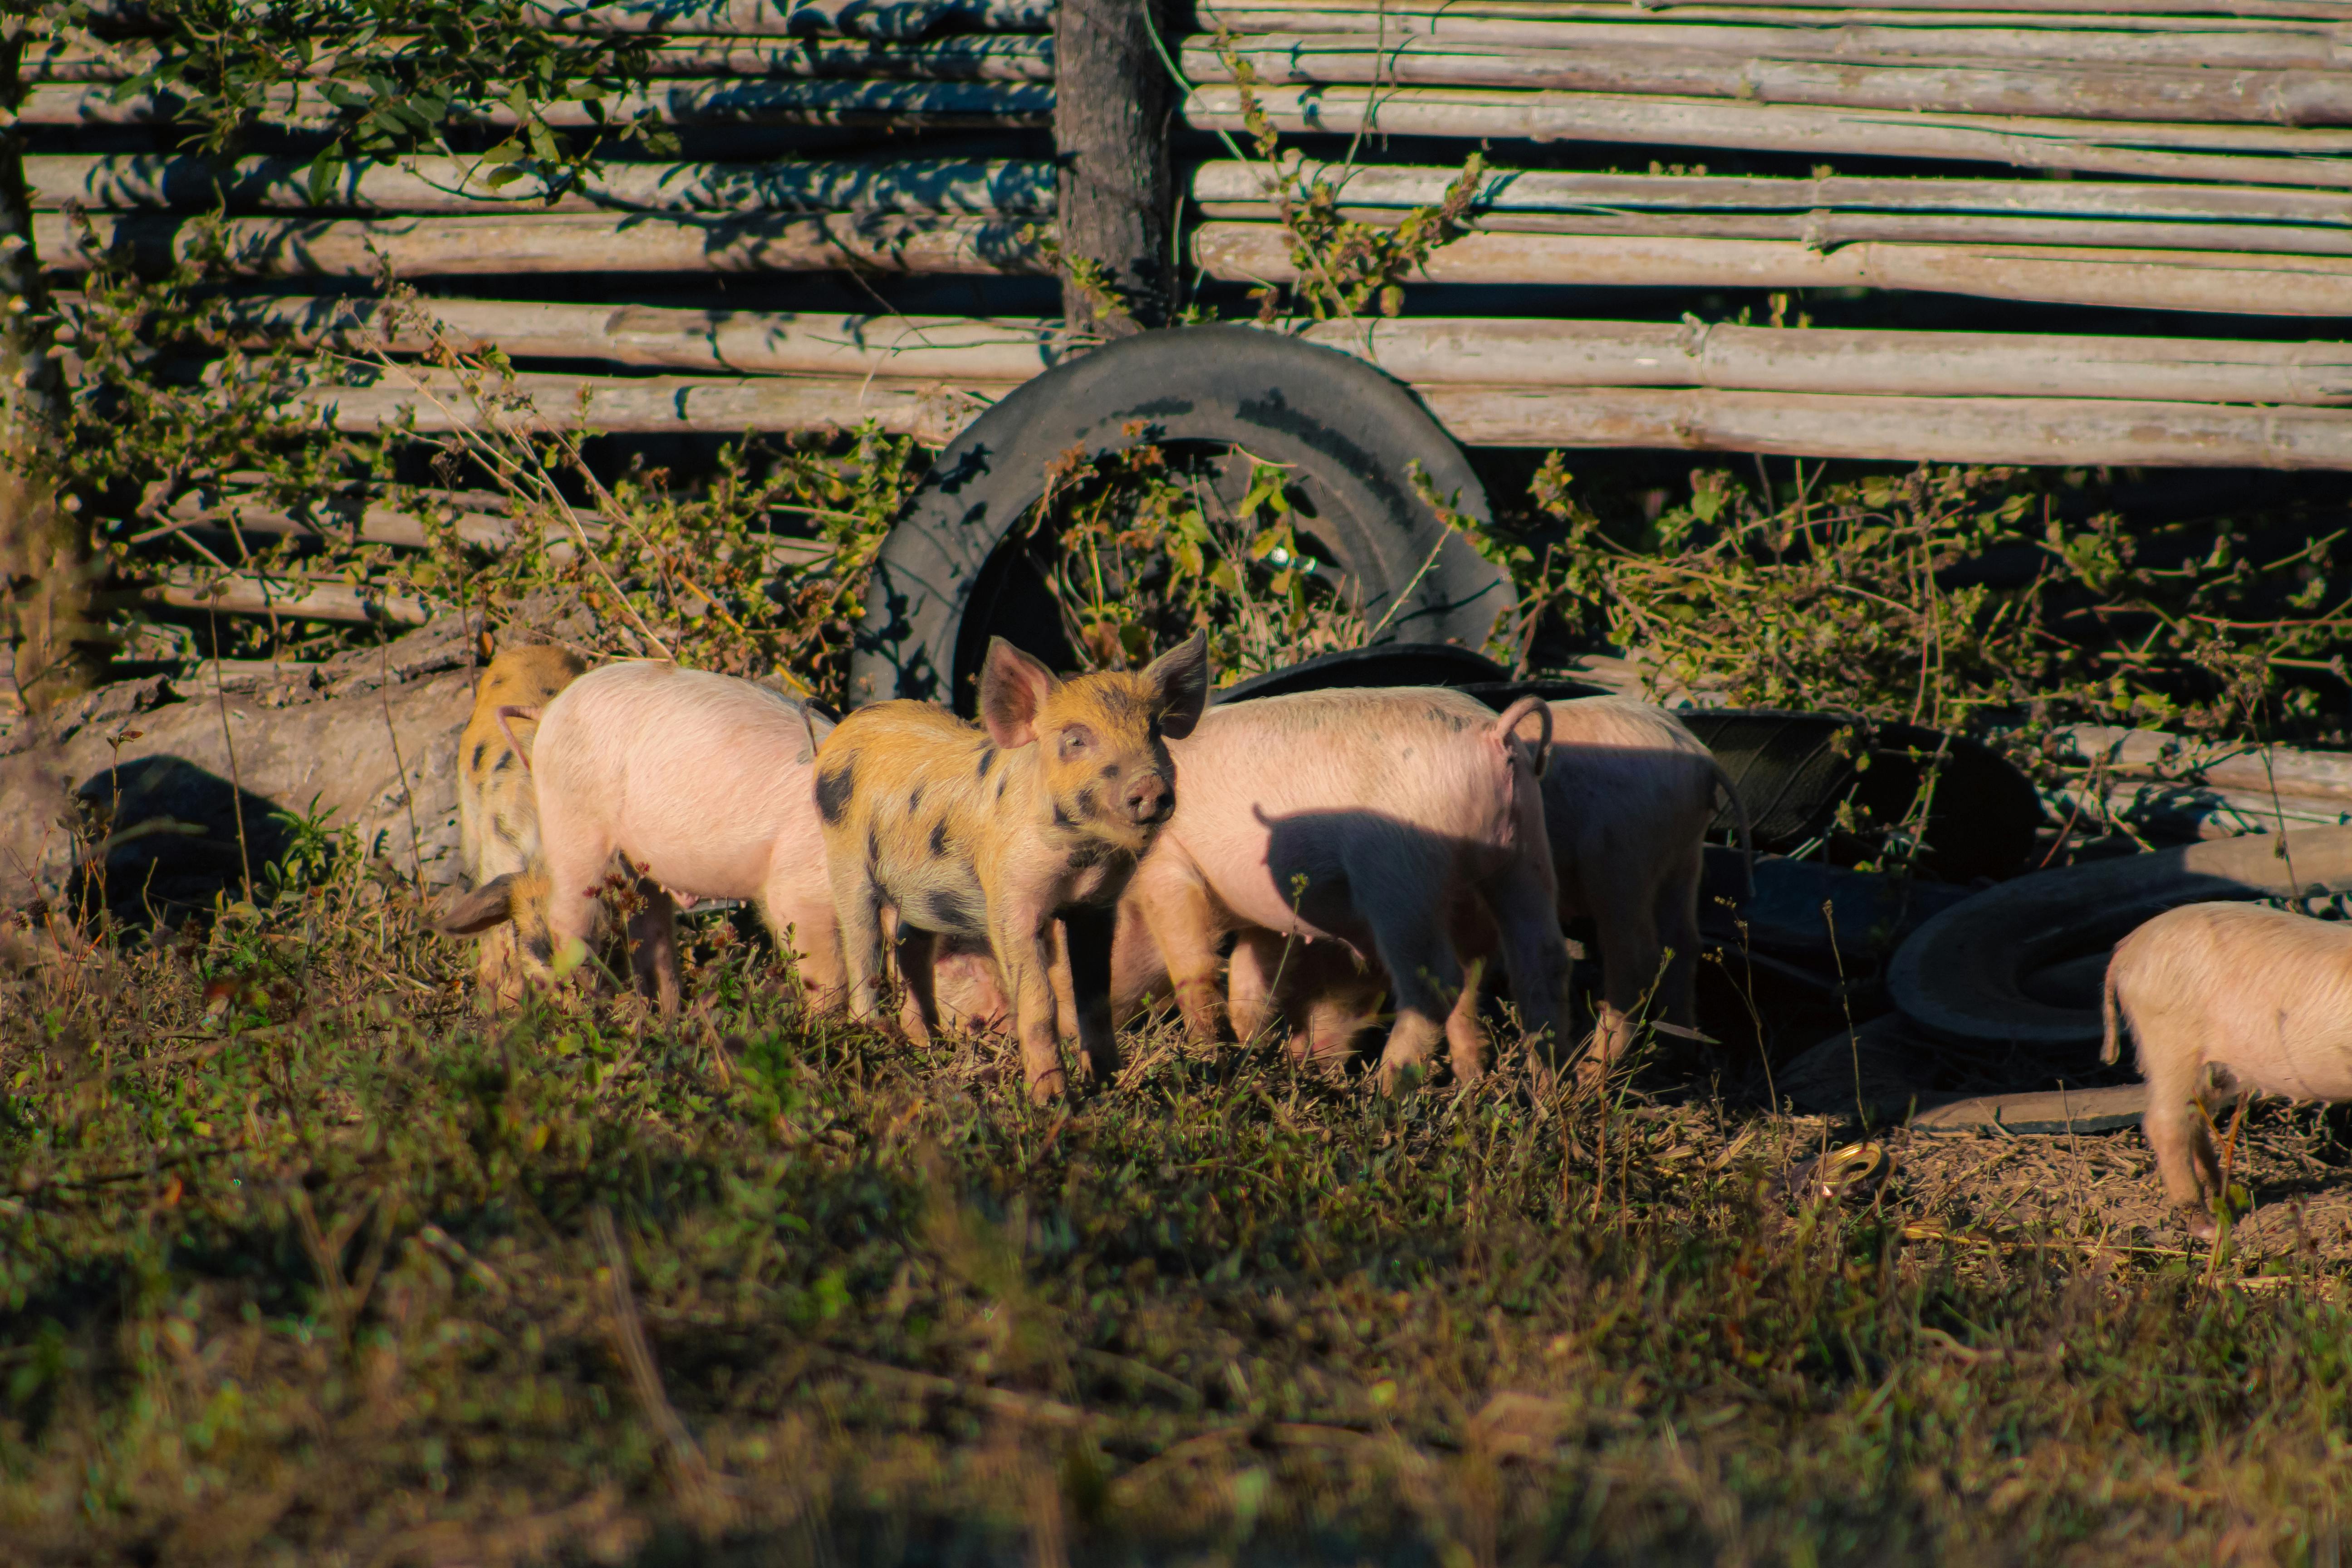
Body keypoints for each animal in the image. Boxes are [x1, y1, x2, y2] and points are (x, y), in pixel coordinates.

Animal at [815, 634, 1210, 1104]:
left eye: (1154, 731)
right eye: (1076, 740)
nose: (1148, 785)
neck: (1083, 859)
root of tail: (842, 730)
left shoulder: (1096, 908)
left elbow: (1097, 999)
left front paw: (1110, 1086)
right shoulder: (1010, 897)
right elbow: (1040, 1002)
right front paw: (1052, 1101)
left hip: (924, 895)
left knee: (910, 949)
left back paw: (931, 1045)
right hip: (845, 854)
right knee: (863, 944)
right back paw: (877, 1034)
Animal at [1119, 685, 1573, 1092]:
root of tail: (1493, 732)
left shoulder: (1167, 865)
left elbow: (1193, 965)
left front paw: (1211, 1055)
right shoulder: (1264, 917)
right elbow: (1251, 980)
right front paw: (1252, 1050)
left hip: (1401, 874)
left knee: (1436, 981)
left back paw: (1387, 1093)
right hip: (1526, 850)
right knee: (1541, 959)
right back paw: (1541, 1091)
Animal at [1233, 696, 1744, 1077]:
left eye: (1321, 958)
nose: (1298, 1057)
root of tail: (1699, 757)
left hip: (1624, 859)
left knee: (1637, 954)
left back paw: (1593, 1073)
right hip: (1681, 859)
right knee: (1684, 943)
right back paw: (1682, 1058)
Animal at [2102, 900, 2352, 1236]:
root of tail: (2127, 947)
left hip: (2216, 1068)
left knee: (2195, 1116)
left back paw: (2230, 1204)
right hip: (2171, 1042)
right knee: (2164, 1122)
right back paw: (2206, 1226)